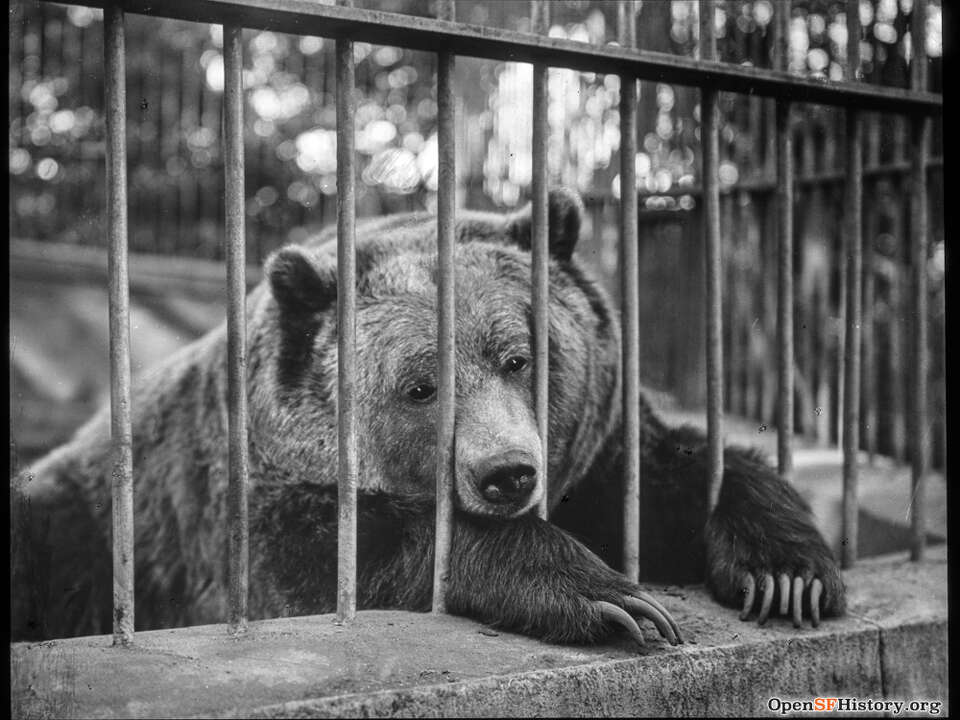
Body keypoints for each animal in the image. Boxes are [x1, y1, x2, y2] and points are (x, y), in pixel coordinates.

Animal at [10, 188, 845, 645]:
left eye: (520, 358)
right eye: (419, 387)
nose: (508, 474)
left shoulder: (599, 451)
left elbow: (683, 470)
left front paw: (787, 574)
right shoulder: (254, 497)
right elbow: (347, 557)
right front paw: (613, 598)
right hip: (81, 532)